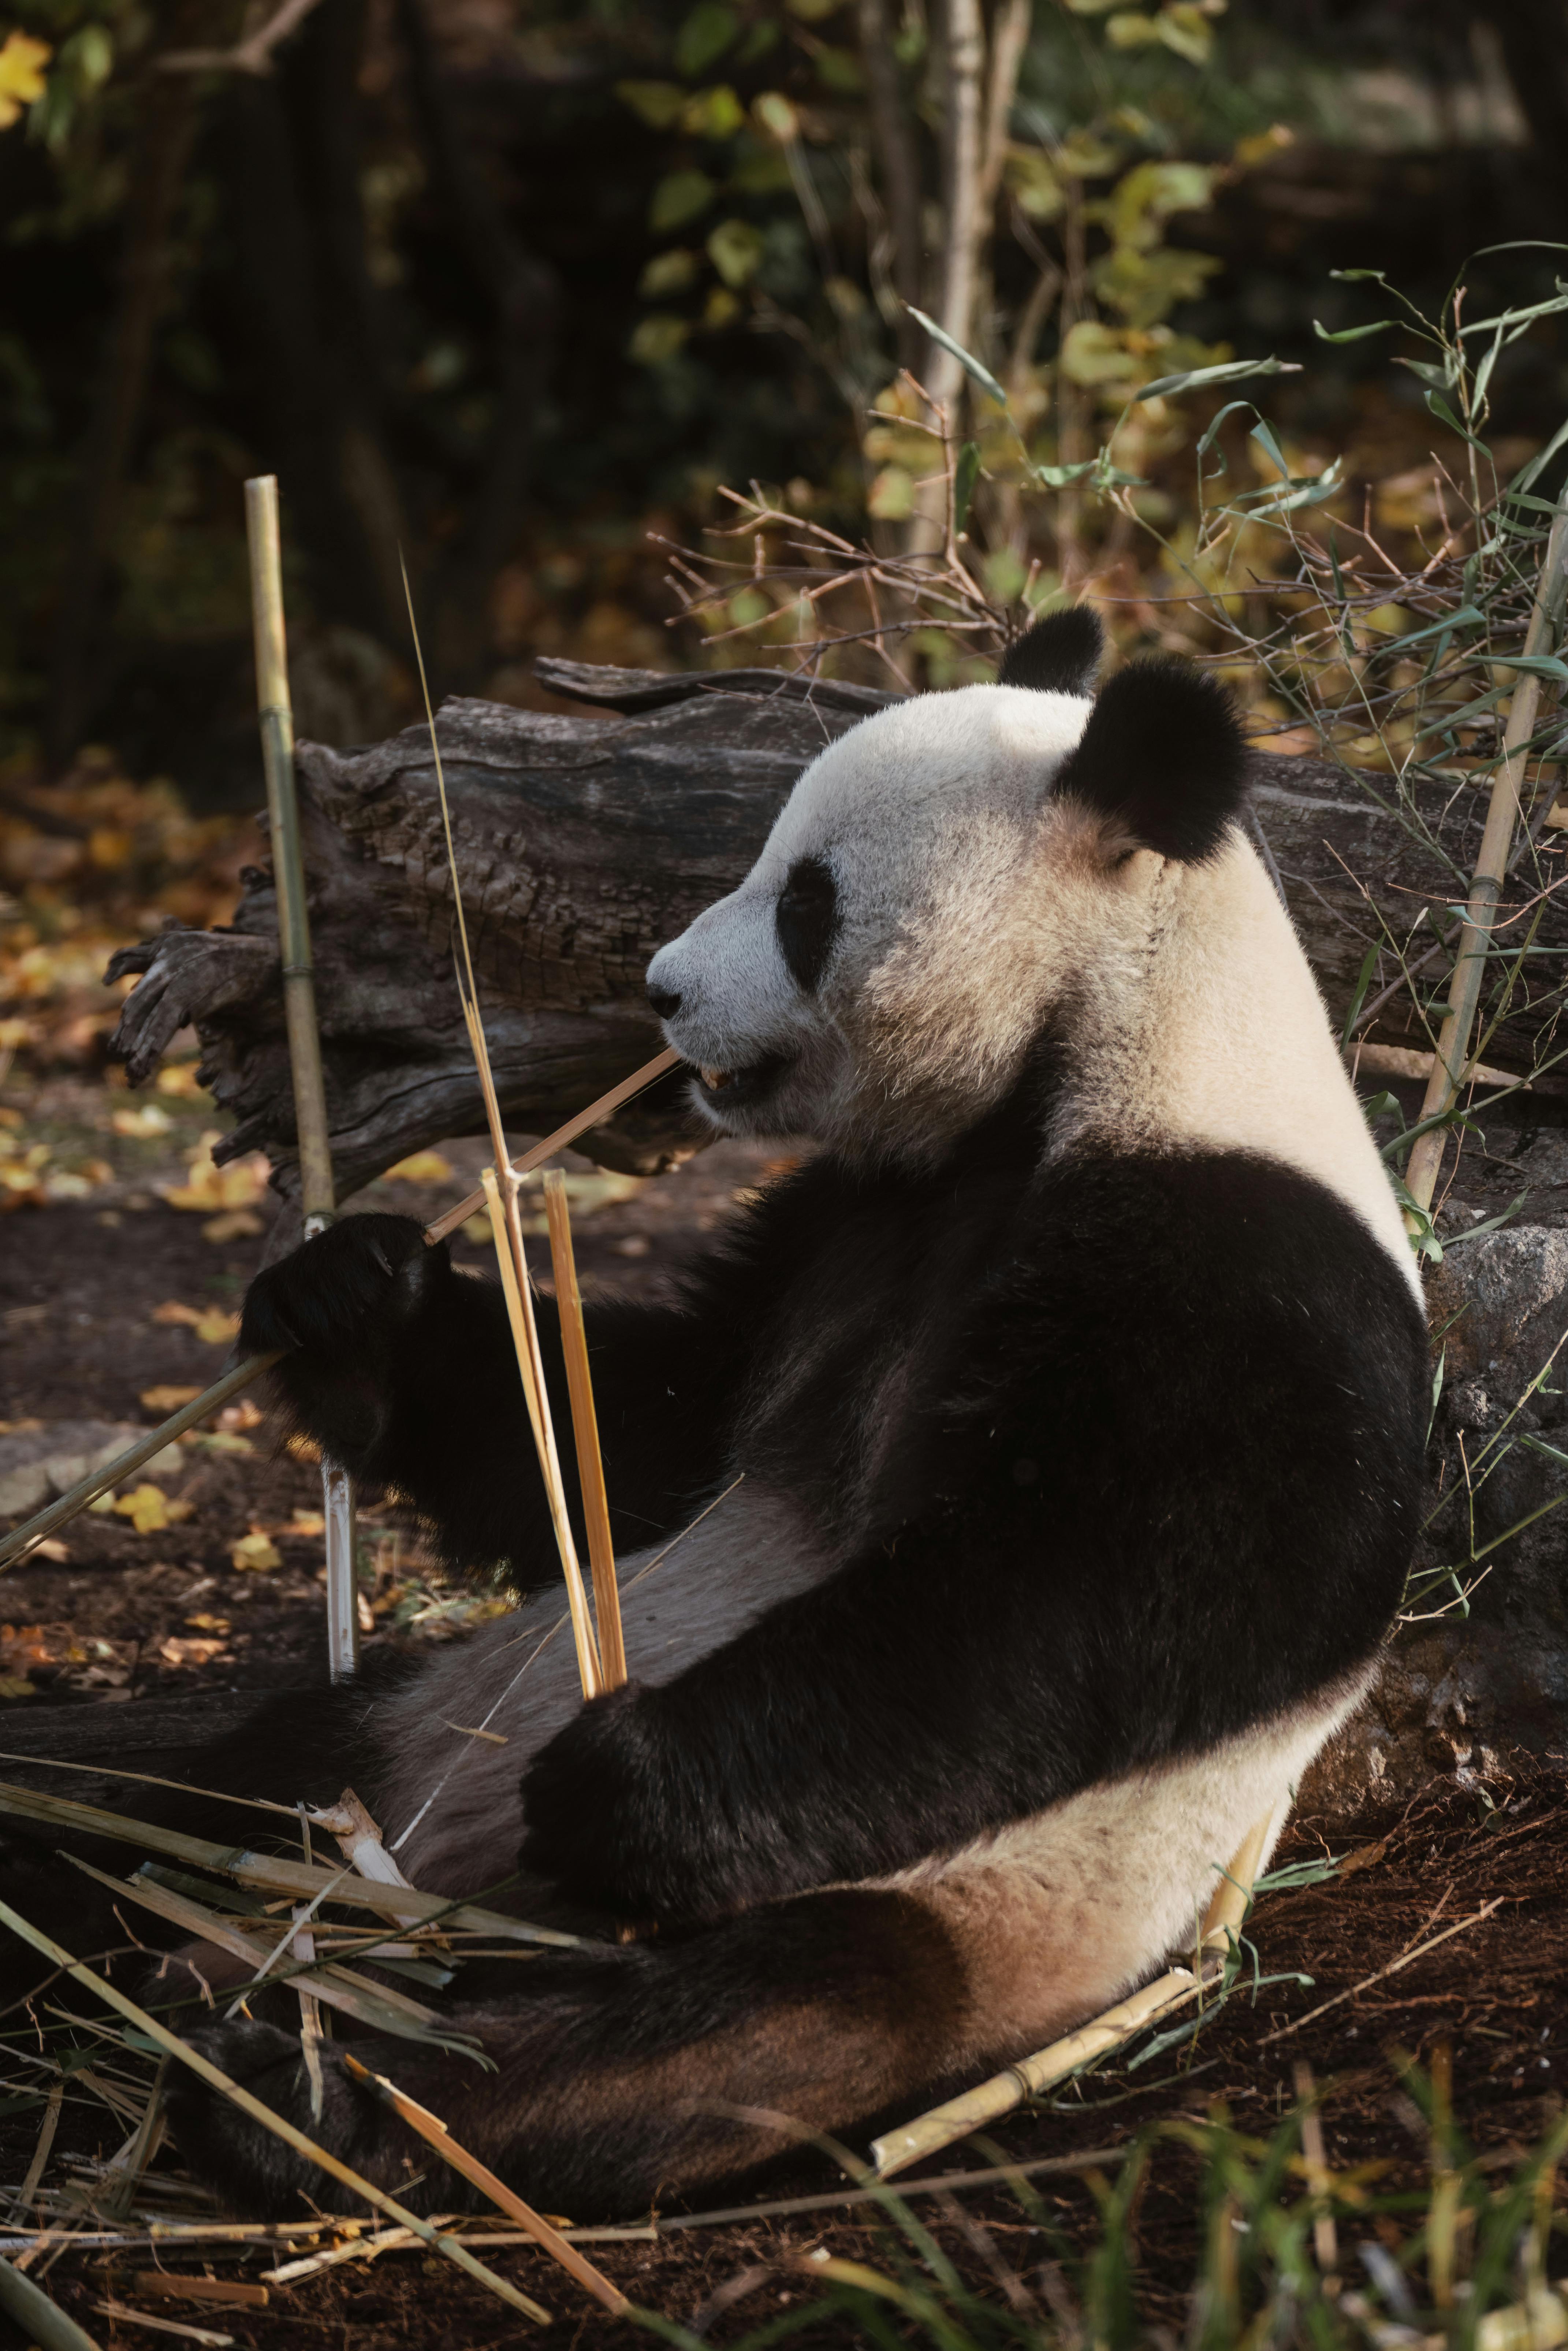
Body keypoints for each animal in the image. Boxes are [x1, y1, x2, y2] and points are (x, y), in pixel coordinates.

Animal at [151, 606, 1425, 2221]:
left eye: (806, 902)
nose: (657, 988)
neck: (1105, 1039)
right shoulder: (855, 1215)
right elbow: (653, 1439)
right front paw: (352, 1306)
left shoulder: (1239, 1272)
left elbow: (1065, 1605)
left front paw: (619, 1778)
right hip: (400, 1731)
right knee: (211, 1781)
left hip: (971, 1904)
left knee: (739, 2020)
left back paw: (307, 2095)